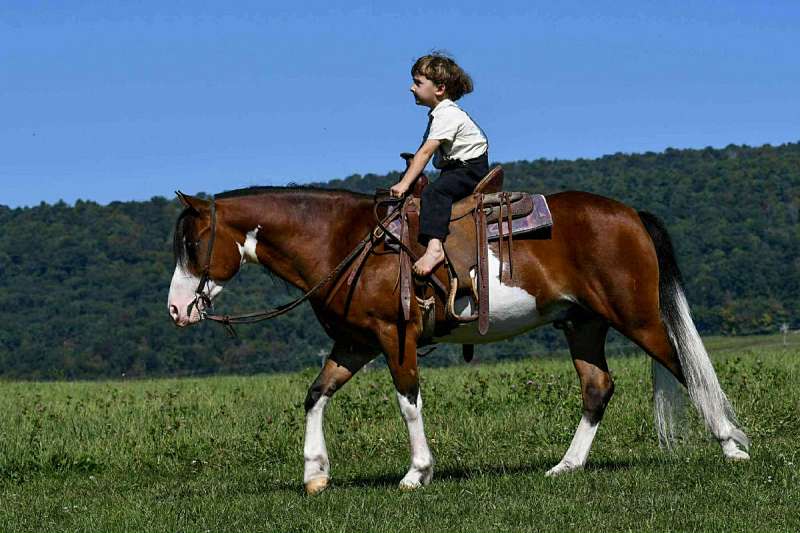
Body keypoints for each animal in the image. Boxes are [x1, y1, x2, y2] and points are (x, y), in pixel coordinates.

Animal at [167, 185, 750, 495]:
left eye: (193, 244)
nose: (176, 309)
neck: (343, 242)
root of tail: (630, 214)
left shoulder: (392, 336)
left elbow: (408, 401)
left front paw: (417, 473)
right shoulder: (355, 343)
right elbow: (315, 395)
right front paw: (315, 474)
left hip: (638, 318)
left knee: (685, 369)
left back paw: (732, 447)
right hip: (582, 325)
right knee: (597, 388)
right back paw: (566, 466)